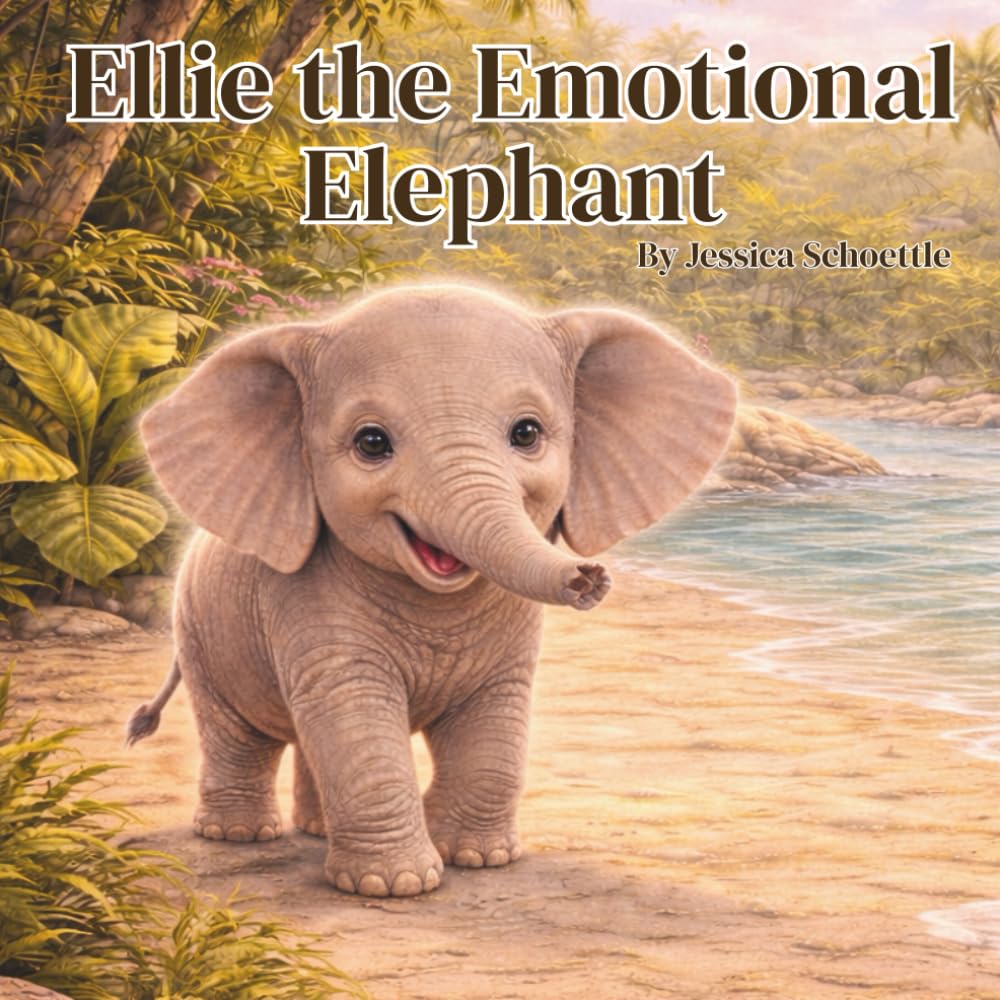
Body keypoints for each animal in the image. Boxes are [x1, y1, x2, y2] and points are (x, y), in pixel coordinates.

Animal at [127, 285, 737, 898]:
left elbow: (493, 719)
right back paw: (239, 835)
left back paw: (315, 831)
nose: (589, 578)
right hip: (200, 628)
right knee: (238, 732)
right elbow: (356, 717)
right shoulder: (302, 601)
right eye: (372, 443)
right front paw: (395, 886)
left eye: (527, 434)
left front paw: (480, 858)